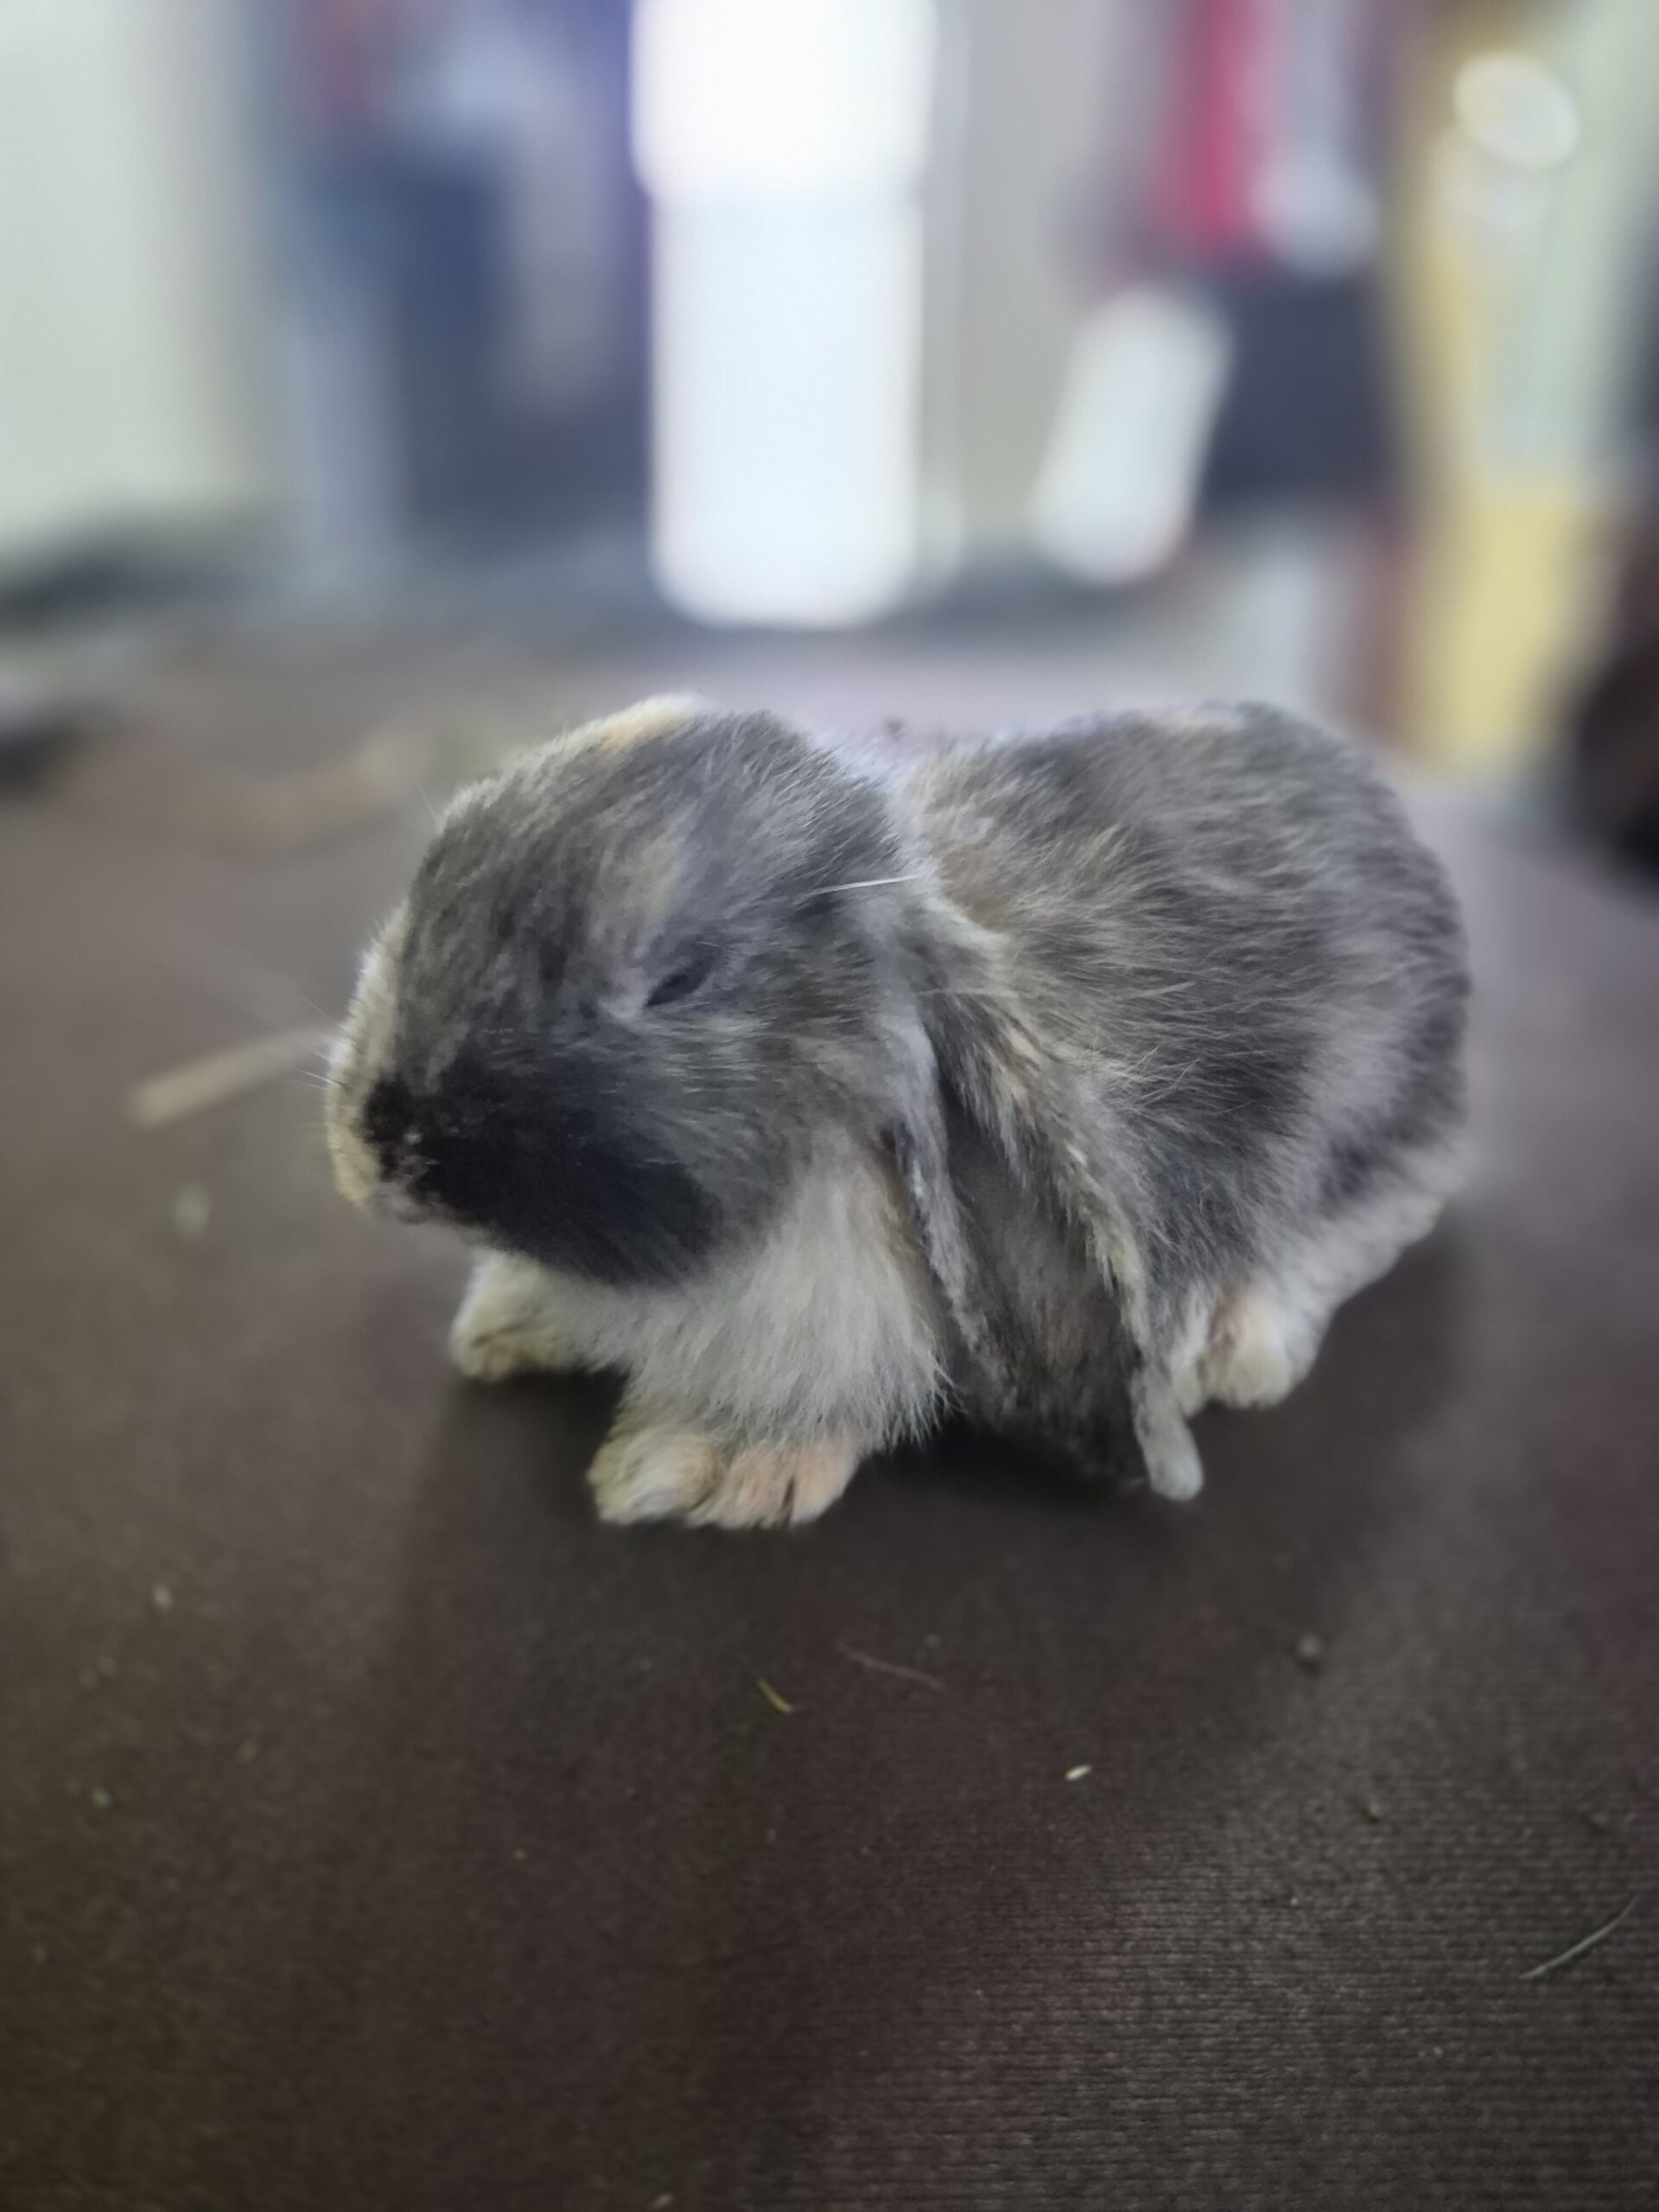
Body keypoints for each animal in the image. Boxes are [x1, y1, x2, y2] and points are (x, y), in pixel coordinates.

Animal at [327, 693, 1468, 1527]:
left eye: (683, 979)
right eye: (433, 870)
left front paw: (699, 1469)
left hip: (1364, 1127)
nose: (376, 1147)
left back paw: (1227, 1342)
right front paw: (505, 1326)